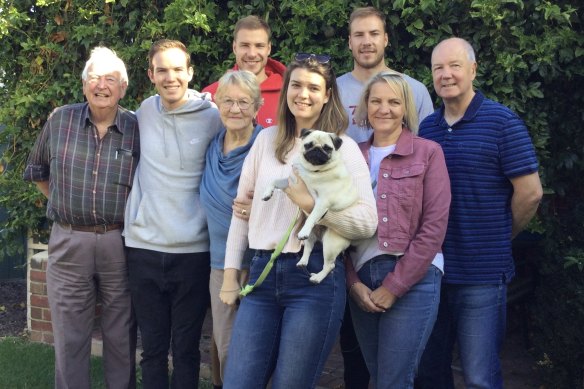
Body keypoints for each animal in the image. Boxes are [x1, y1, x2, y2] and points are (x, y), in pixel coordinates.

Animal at [262, 127, 358, 282]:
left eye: (327, 148)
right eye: (308, 145)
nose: (317, 150)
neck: (313, 171)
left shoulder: (322, 201)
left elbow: (312, 216)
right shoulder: (290, 182)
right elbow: (274, 180)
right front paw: (267, 193)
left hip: (330, 244)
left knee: (330, 265)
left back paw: (317, 277)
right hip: (313, 237)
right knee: (308, 248)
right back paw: (302, 262)